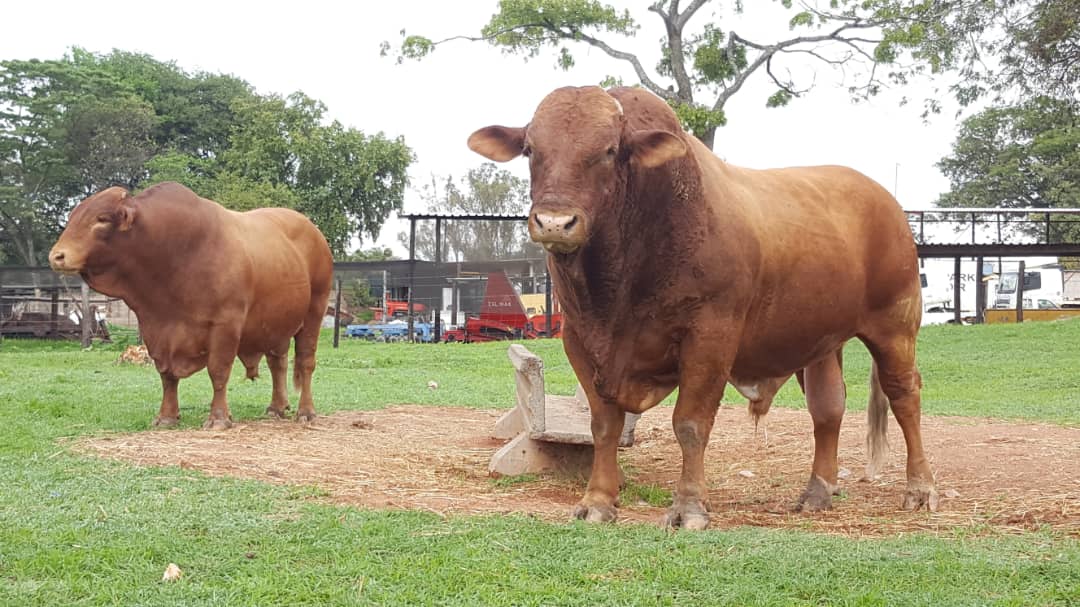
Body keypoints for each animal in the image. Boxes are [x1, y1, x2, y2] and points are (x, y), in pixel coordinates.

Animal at [49, 182, 334, 430]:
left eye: (102, 219)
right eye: (74, 216)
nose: (57, 256)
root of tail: (313, 230)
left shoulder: (226, 324)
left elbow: (218, 372)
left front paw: (218, 418)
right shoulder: (155, 327)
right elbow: (167, 376)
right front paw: (166, 416)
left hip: (314, 312)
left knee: (306, 362)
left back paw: (306, 411)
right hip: (277, 323)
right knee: (278, 362)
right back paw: (277, 407)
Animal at [468, 86, 937, 529]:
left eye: (609, 150)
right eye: (531, 149)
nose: (554, 222)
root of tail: (884, 200)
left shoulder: (710, 335)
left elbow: (690, 424)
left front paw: (689, 507)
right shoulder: (580, 340)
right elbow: (603, 425)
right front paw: (597, 501)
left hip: (896, 324)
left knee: (904, 395)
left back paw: (919, 488)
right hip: (820, 340)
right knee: (828, 409)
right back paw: (818, 492)